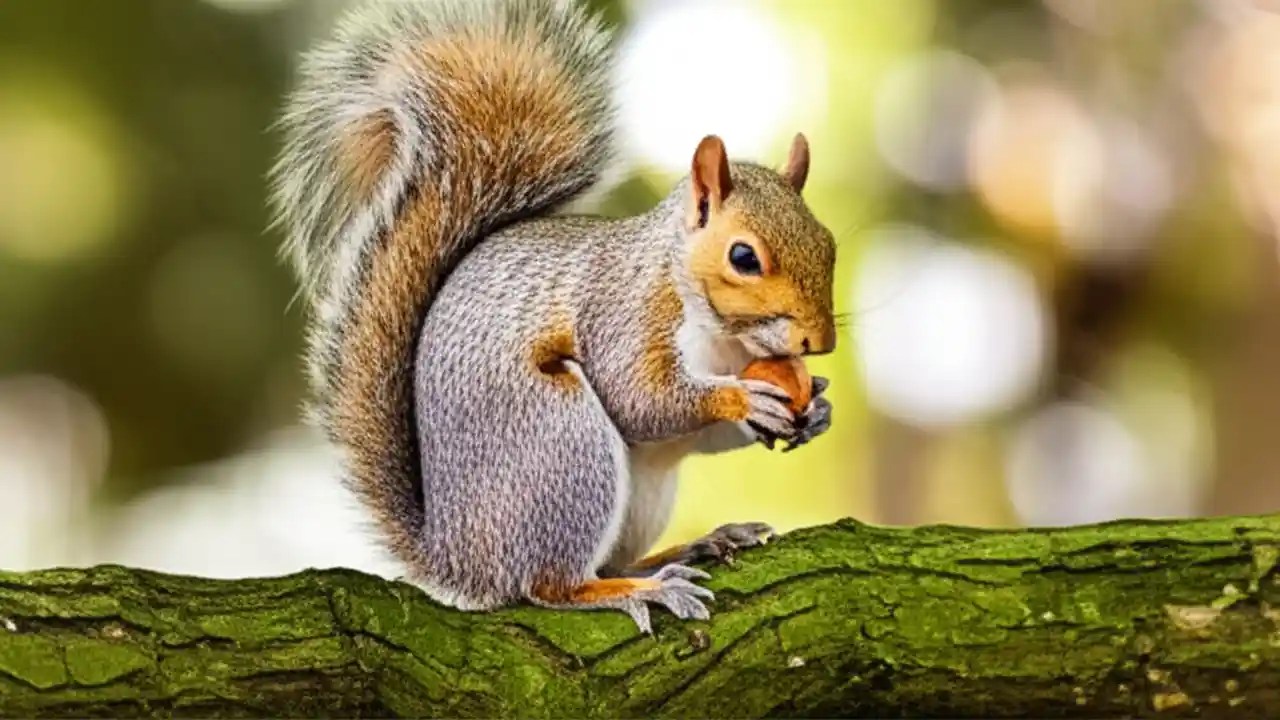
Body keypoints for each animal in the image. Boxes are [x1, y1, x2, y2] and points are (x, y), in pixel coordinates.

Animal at [270, 0, 837, 633]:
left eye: (829, 243)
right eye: (743, 257)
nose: (819, 341)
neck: (723, 339)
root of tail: (458, 560)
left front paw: (817, 409)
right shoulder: (622, 311)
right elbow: (641, 400)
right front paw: (745, 398)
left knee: (613, 557)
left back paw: (691, 548)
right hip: (561, 443)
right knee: (550, 584)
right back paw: (635, 590)